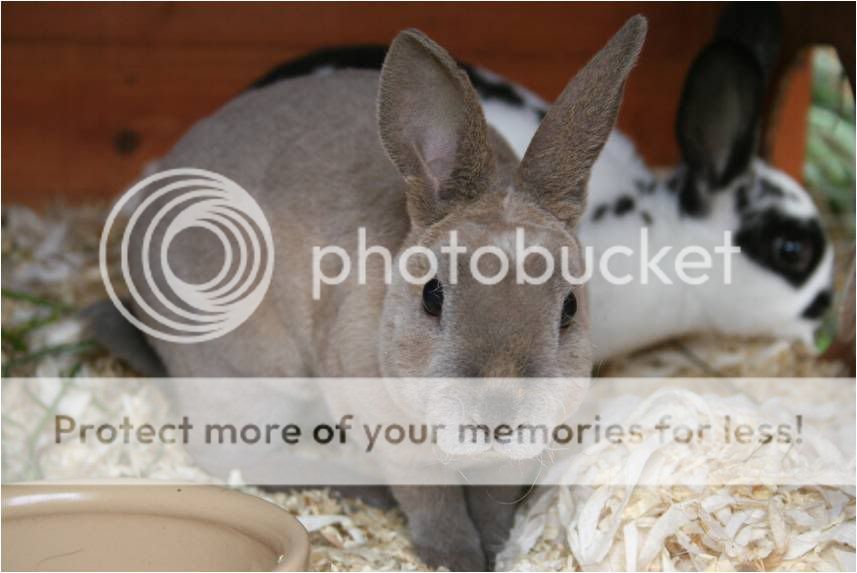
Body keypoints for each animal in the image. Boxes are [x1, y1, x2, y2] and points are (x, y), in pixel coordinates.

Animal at [111, 19, 647, 571]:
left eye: (569, 308)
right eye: (432, 296)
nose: (498, 414)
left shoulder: (503, 465)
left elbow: (491, 500)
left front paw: (497, 552)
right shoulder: (394, 439)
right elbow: (431, 497)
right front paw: (453, 557)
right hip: (251, 381)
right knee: (228, 457)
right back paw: (362, 489)